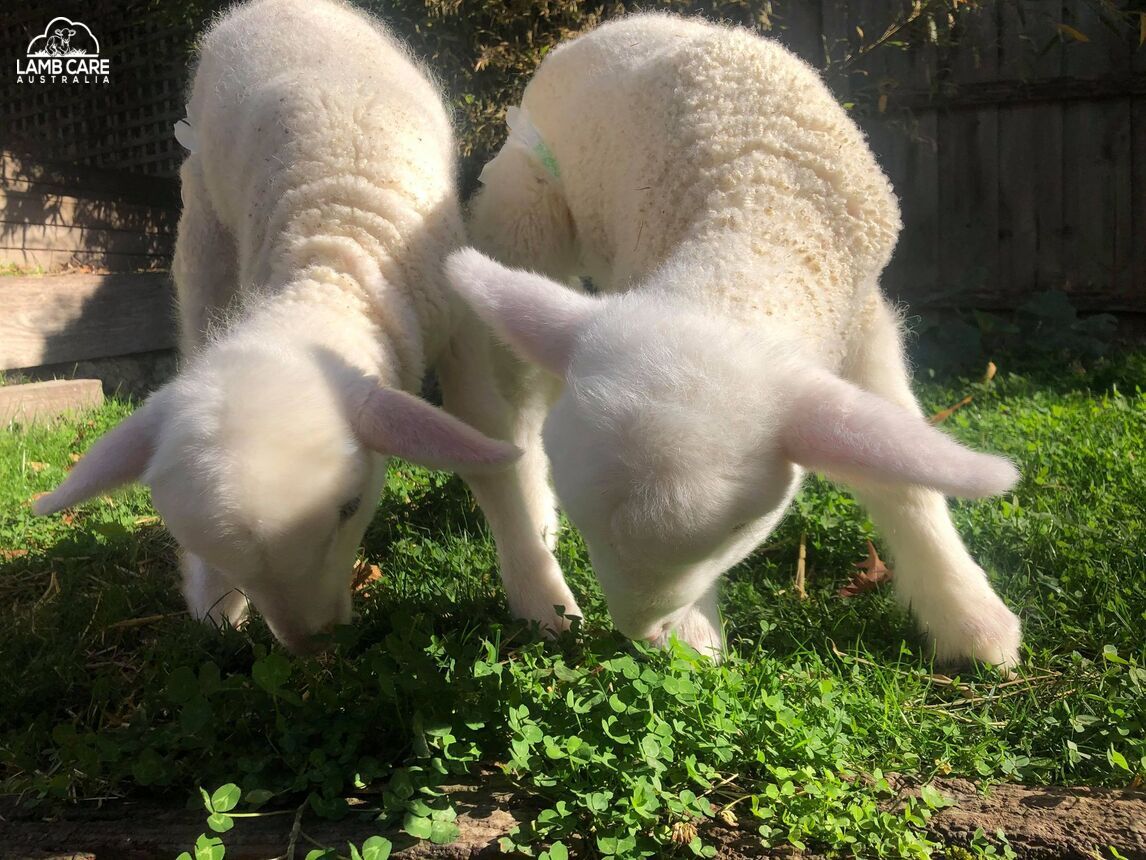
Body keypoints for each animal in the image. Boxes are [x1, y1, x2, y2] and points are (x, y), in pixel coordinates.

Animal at [33, 0, 568, 653]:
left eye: (350, 507)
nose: (311, 644)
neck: (335, 259)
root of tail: (265, 8)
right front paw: (216, 598)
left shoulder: (456, 325)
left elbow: (487, 441)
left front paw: (543, 597)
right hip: (204, 230)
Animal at [445, 13, 1023, 670]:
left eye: (735, 537)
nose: (641, 631)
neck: (755, 225)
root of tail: (617, 25)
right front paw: (694, 637)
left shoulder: (862, 321)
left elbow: (905, 478)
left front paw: (972, 622)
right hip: (527, 213)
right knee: (516, 401)